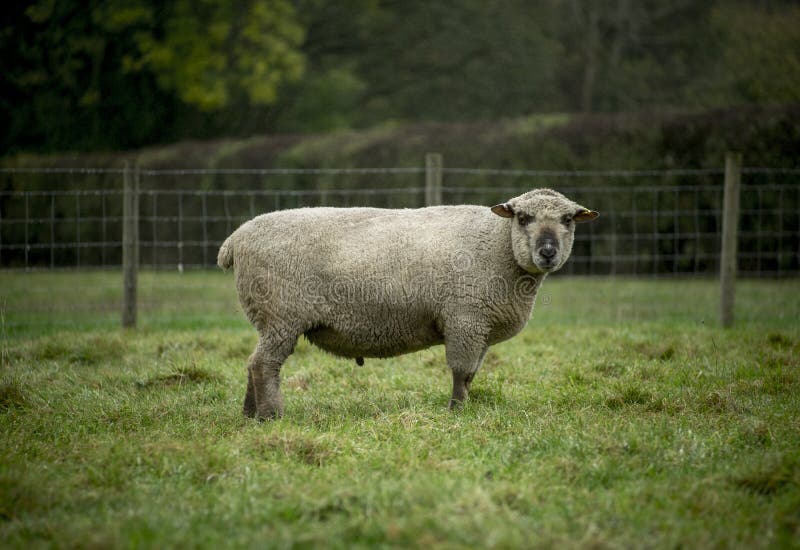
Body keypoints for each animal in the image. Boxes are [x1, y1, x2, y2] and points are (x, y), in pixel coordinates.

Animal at [218, 188, 598, 420]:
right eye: (522, 218)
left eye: (567, 220)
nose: (547, 252)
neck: (499, 244)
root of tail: (235, 239)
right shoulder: (465, 318)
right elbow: (461, 371)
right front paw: (456, 412)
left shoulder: (481, 327)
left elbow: (472, 374)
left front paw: (463, 406)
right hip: (282, 314)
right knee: (264, 365)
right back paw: (271, 415)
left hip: (272, 319)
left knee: (252, 363)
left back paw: (249, 415)